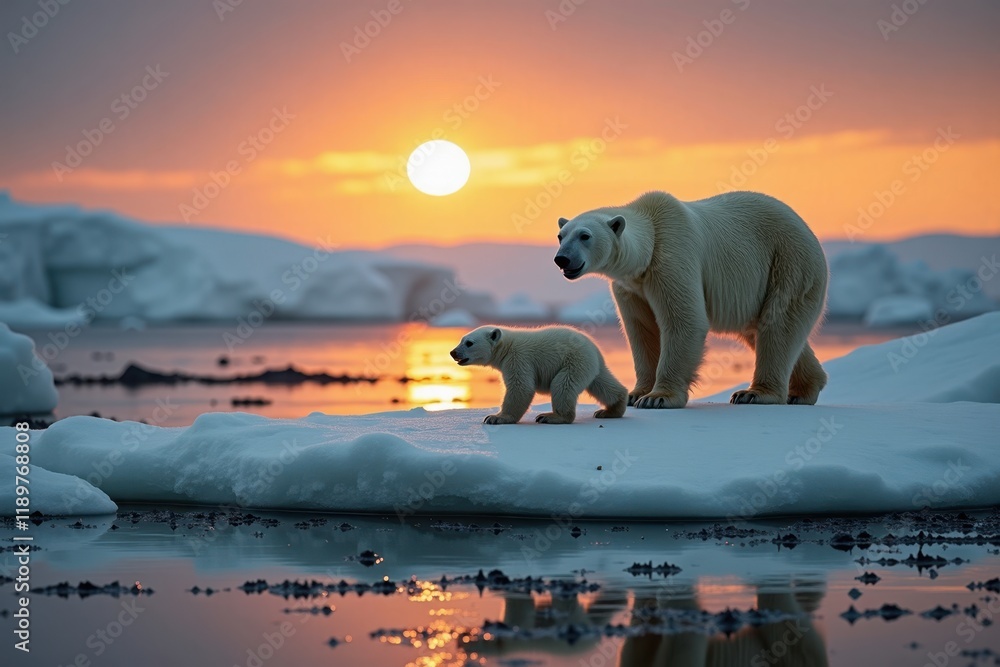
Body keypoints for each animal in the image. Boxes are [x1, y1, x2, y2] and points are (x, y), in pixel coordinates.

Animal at [449, 325, 628, 424]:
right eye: (461, 339)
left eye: (469, 343)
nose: (453, 352)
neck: (506, 346)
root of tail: (594, 348)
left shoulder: (518, 358)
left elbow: (521, 387)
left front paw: (496, 417)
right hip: (589, 365)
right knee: (602, 384)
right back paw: (610, 410)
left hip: (573, 361)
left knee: (562, 385)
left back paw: (551, 417)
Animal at [554, 190, 828, 408]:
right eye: (561, 235)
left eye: (585, 236)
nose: (562, 259)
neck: (651, 238)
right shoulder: (631, 286)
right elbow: (641, 330)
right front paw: (636, 394)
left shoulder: (672, 257)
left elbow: (684, 321)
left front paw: (658, 398)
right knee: (763, 331)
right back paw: (804, 390)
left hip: (788, 262)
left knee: (778, 322)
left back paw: (754, 393)